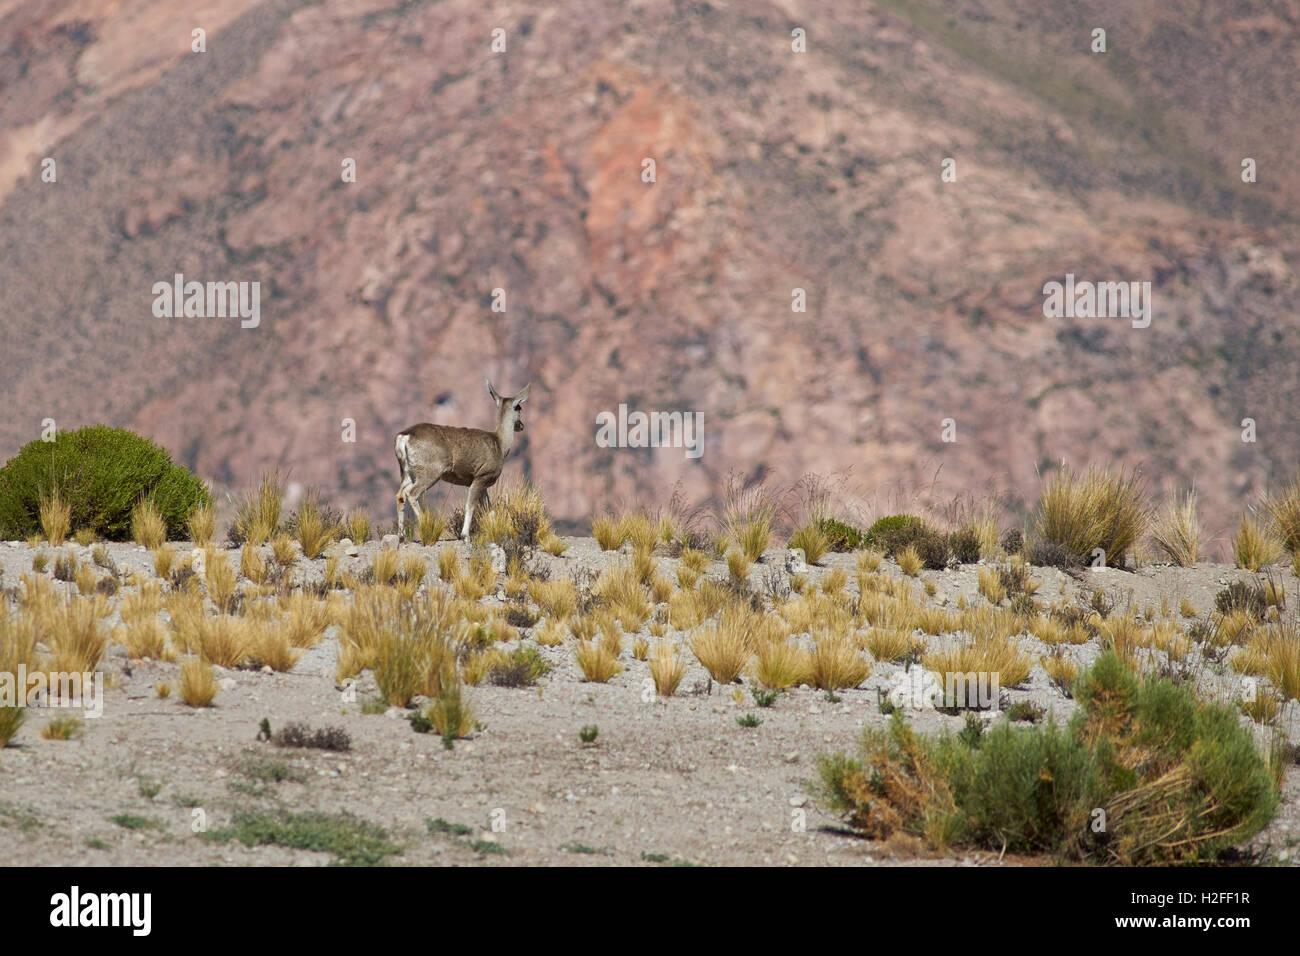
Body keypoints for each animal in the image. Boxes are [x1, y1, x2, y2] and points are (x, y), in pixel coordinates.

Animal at [394, 380, 531, 542]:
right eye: (519, 408)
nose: (521, 425)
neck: (500, 444)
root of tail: (403, 437)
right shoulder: (481, 475)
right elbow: (470, 506)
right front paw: (465, 535)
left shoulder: (483, 483)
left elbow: (489, 509)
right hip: (430, 471)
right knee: (412, 493)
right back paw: (426, 528)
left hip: (407, 472)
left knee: (400, 494)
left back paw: (401, 535)